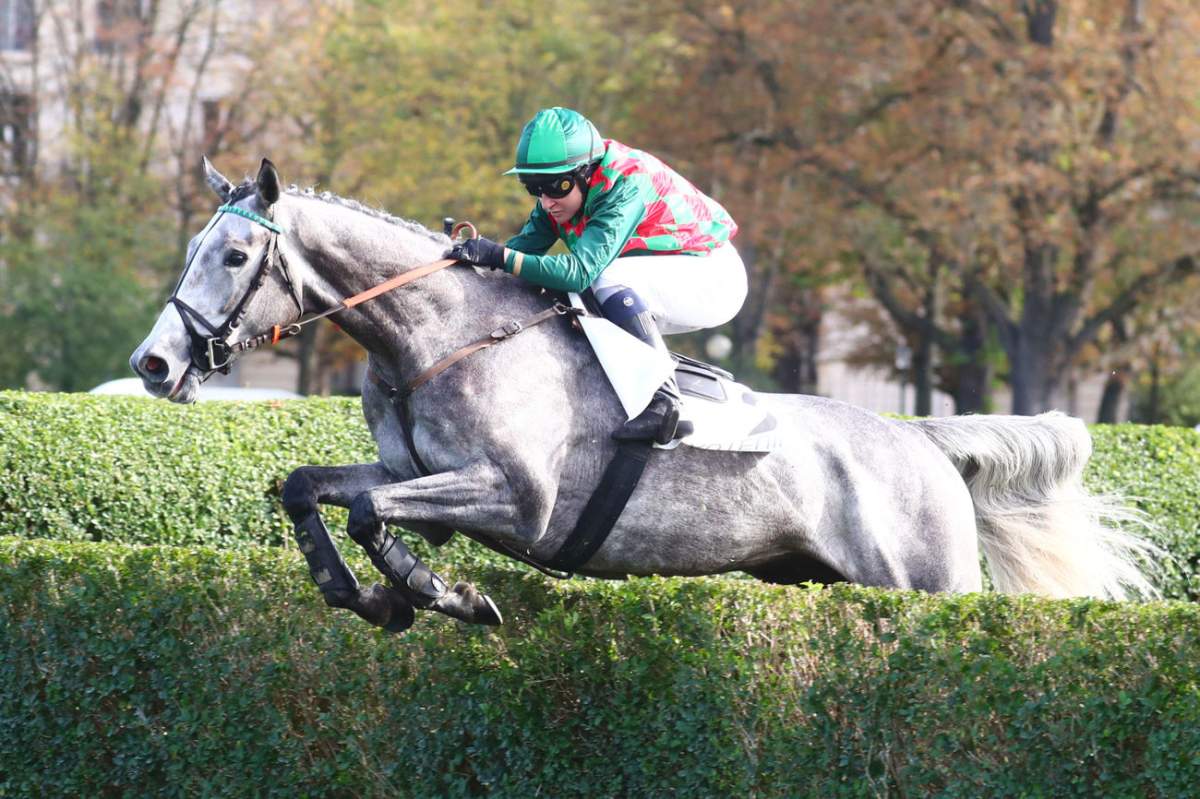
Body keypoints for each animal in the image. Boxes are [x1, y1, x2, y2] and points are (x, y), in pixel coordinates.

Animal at [130, 158, 1157, 633]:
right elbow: (310, 488)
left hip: (933, 584)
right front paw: (371, 597)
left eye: (233, 255)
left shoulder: (518, 498)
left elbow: (376, 514)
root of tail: (926, 444)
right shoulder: (406, 470)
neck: (438, 337)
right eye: (191, 247)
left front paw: (443, 594)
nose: (153, 365)